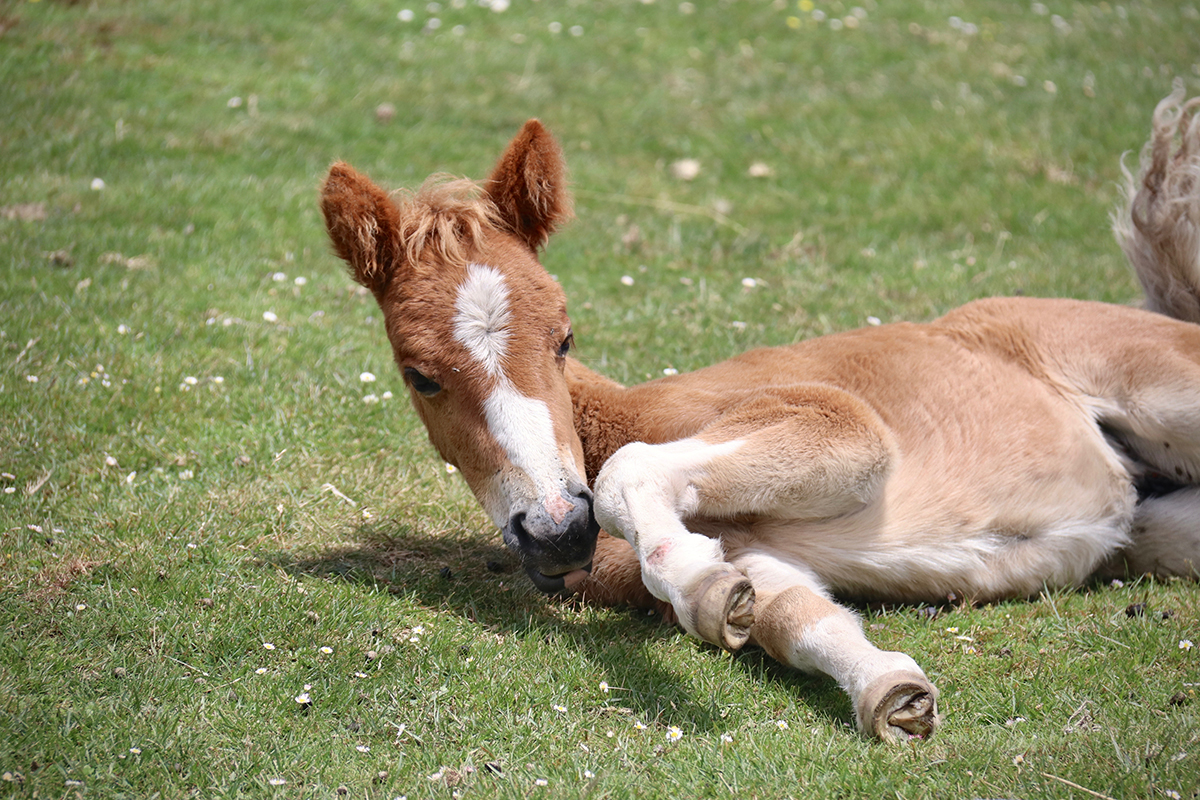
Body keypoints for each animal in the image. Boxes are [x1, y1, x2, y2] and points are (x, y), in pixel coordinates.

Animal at [319, 85, 1200, 743]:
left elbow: (633, 473)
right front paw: (886, 690)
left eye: (565, 337)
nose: (557, 530)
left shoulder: (837, 422)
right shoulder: (759, 558)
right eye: (420, 376)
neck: (619, 416)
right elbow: (793, 617)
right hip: (1160, 530)